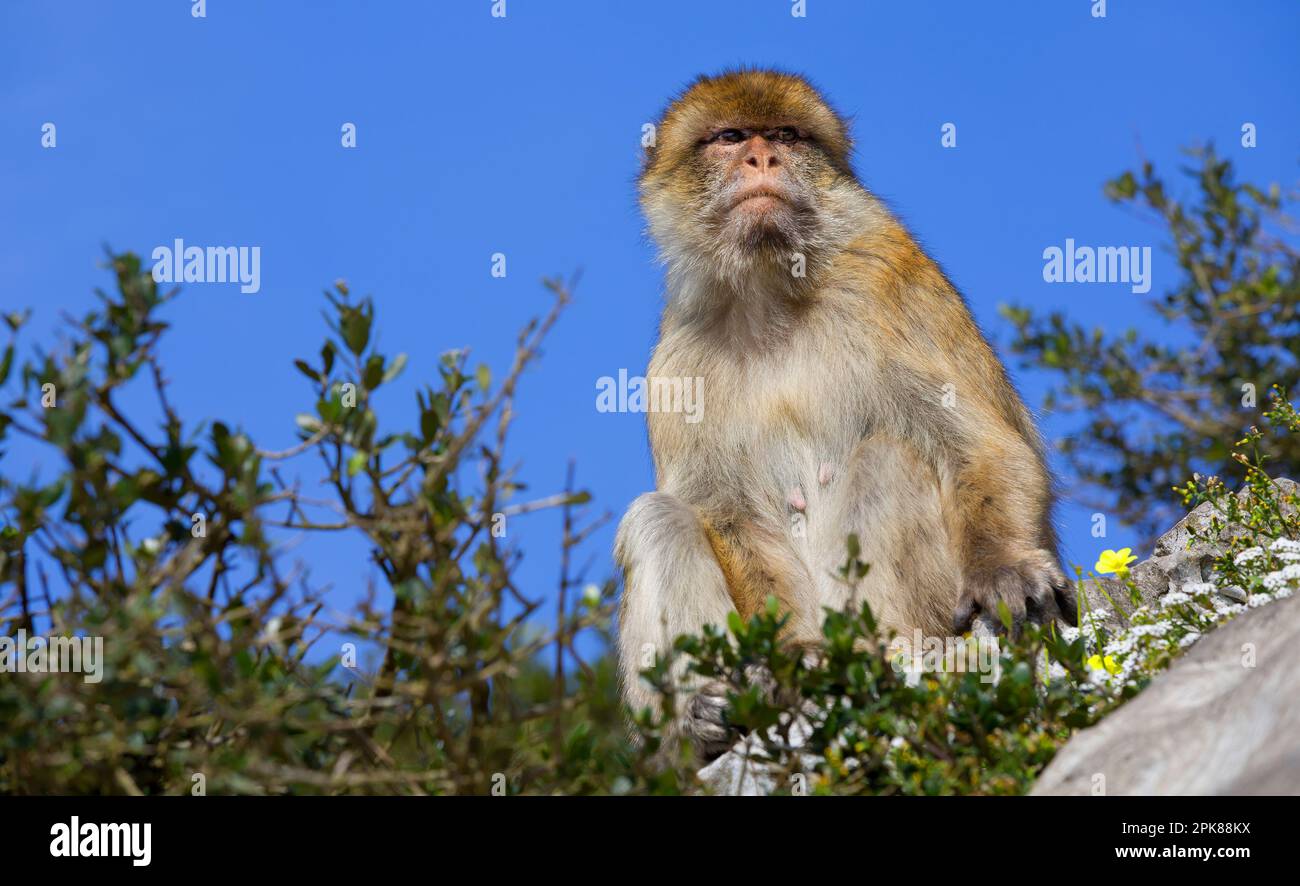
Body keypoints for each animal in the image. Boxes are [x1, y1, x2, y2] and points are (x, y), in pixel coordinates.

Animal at [615, 69, 1077, 758]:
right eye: (730, 138)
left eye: (785, 136)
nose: (762, 160)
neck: (770, 293)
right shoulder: (675, 363)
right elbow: (723, 511)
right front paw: (788, 657)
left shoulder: (890, 276)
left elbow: (976, 444)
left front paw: (1004, 568)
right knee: (659, 517)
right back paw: (702, 724)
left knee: (887, 455)